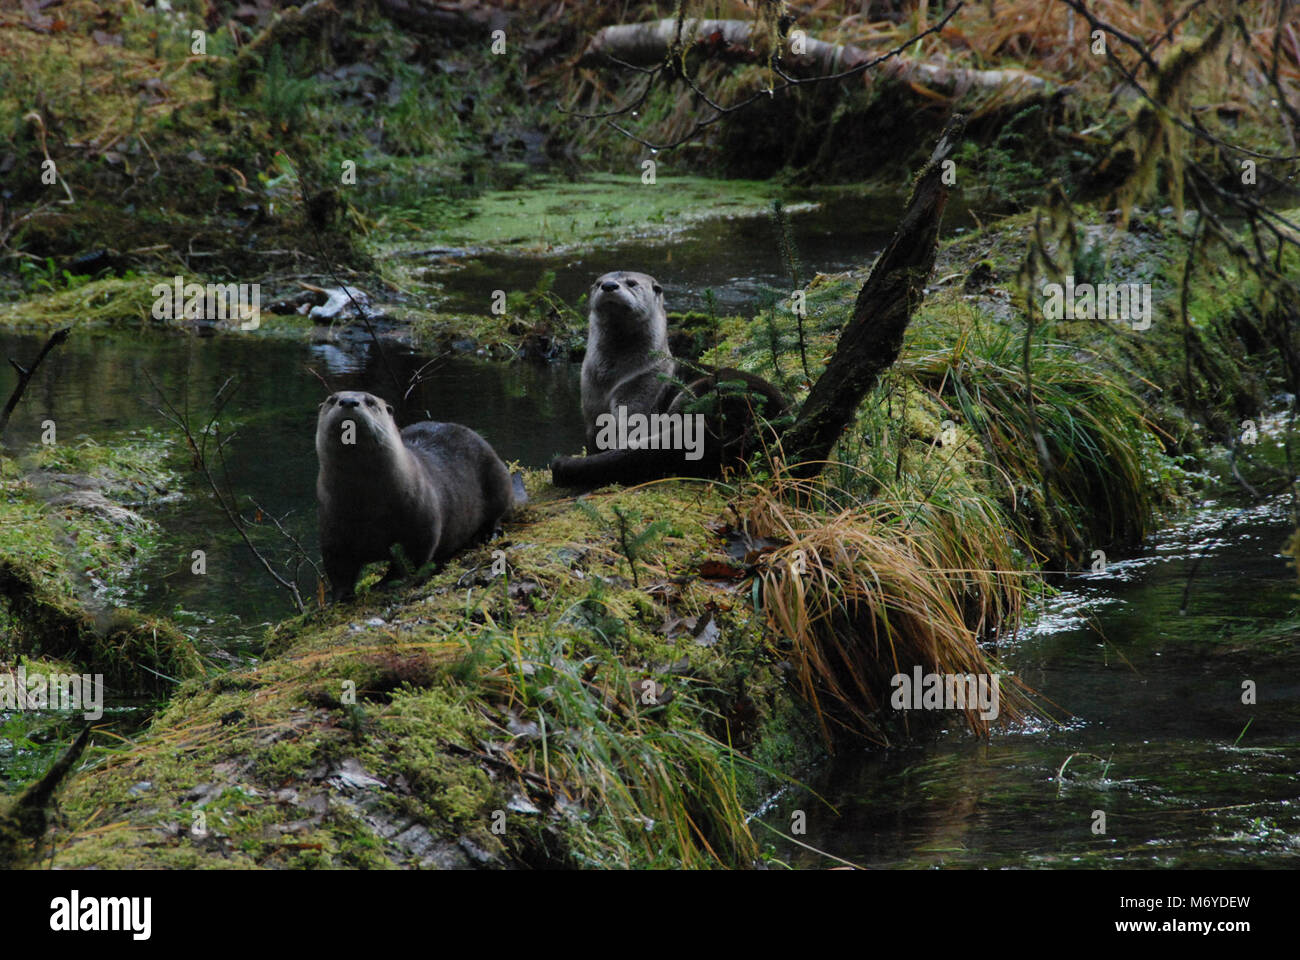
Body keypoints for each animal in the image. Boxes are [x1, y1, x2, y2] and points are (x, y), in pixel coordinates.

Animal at [316, 391, 521, 601]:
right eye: (333, 399)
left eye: (370, 402)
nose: (348, 401)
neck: (368, 507)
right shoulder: (331, 526)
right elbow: (338, 565)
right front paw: (340, 596)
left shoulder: (421, 522)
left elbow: (410, 557)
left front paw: (387, 582)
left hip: (497, 477)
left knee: (497, 515)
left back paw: (487, 534)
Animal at [552, 272, 790, 488]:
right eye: (599, 282)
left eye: (632, 283)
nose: (609, 286)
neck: (609, 380)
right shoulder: (590, 411)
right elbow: (593, 440)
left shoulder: (640, 393)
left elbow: (626, 434)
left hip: (696, 393)